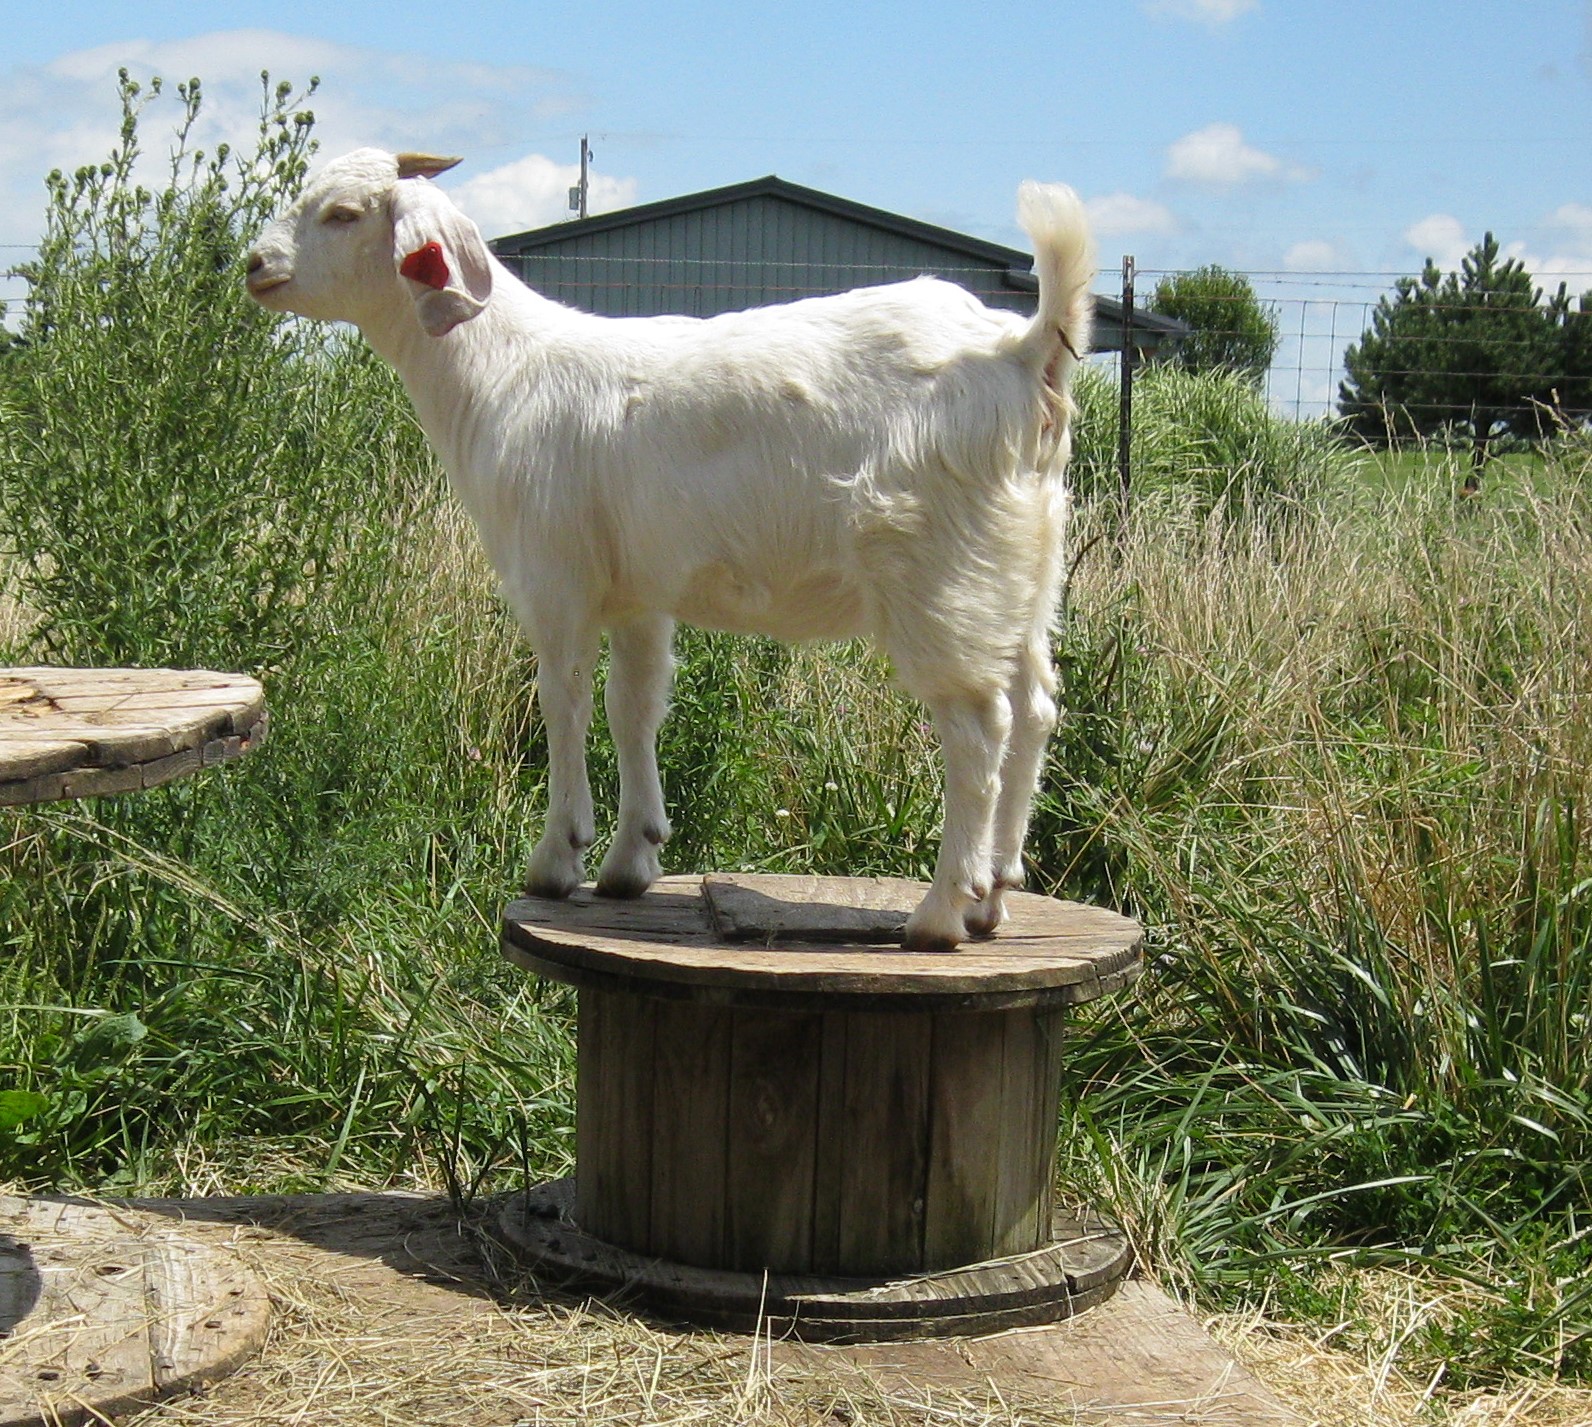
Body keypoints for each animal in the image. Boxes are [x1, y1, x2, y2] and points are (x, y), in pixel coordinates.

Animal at [246, 150, 1095, 951]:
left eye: (343, 213)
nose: (256, 264)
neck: (498, 373)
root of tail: (1020, 351)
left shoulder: (554, 575)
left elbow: (563, 699)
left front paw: (558, 856)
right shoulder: (639, 592)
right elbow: (635, 706)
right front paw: (632, 857)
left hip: (937, 579)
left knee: (976, 727)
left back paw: (942, 910)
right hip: (1020, 575)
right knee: (1035, 707)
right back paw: (993, 893)